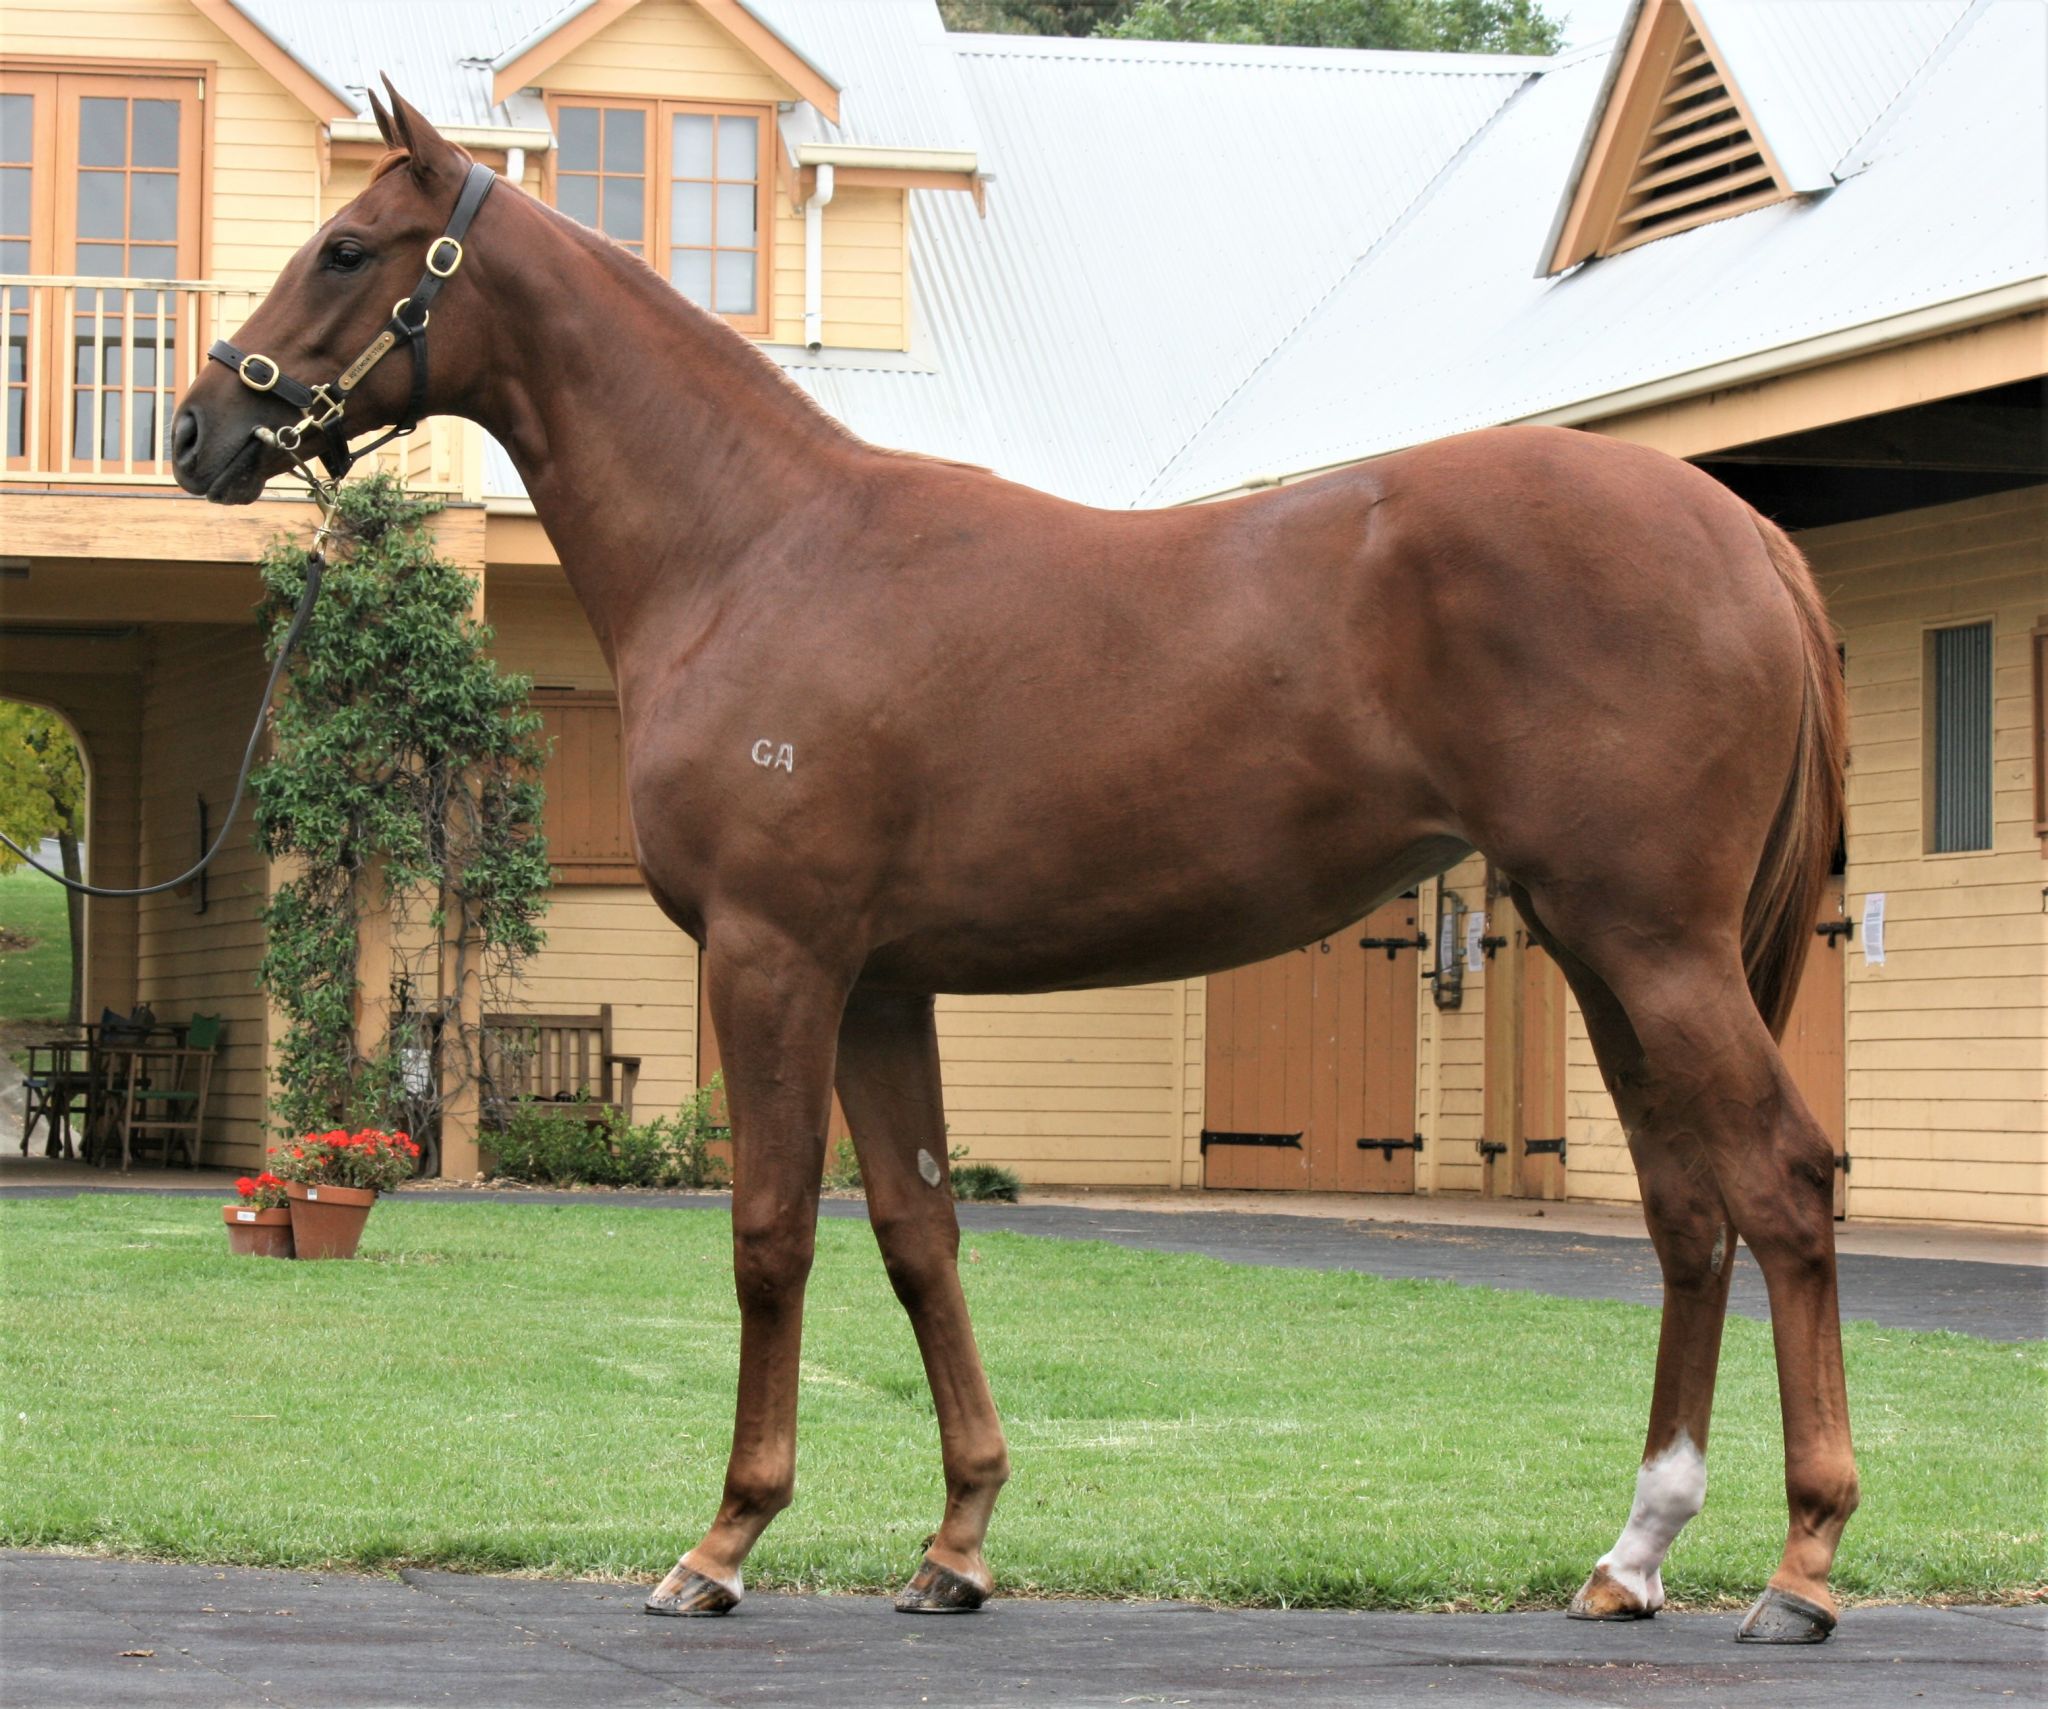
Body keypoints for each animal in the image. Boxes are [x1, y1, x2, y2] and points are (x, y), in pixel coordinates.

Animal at [172, 85, 1854, 1644]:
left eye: (348, 245)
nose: (198, 430)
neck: (756, 549)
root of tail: (1745, 532)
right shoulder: (878, 986)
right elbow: (920, 1237)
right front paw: (957, 1542)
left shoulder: (775, 957)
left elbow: (771, 1232)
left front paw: (724, 1541)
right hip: (1599, 946)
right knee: (1686, 1212)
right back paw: (1634, 1554)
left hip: (1655, 943)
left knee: (1782, 1181)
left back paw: (1803, 1565)